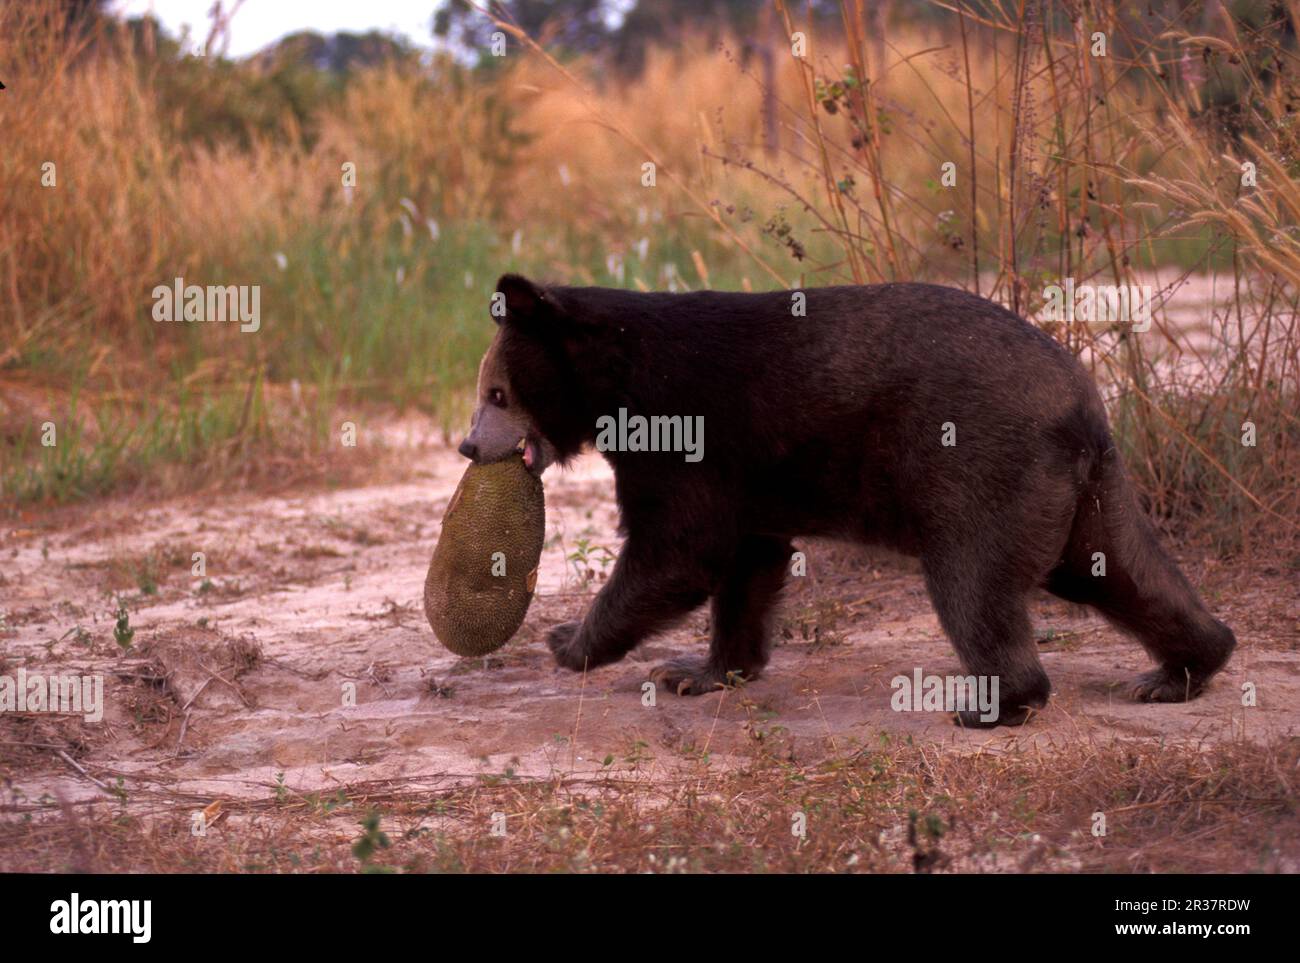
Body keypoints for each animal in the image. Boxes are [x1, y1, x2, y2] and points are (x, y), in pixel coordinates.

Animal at [455, 273, 1236, 726]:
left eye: (495, 392)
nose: (467, 445)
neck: (616, 374)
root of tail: (1081, 406)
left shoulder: (686, 429)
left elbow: (676, 549)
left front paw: (570, 642)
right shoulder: (749, 476)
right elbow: (748, 561)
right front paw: (701, 671)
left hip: (979, 471)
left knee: (973, 585)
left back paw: (995, 703)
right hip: (1085, 491)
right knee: (1118, 568)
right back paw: (1180, 669)